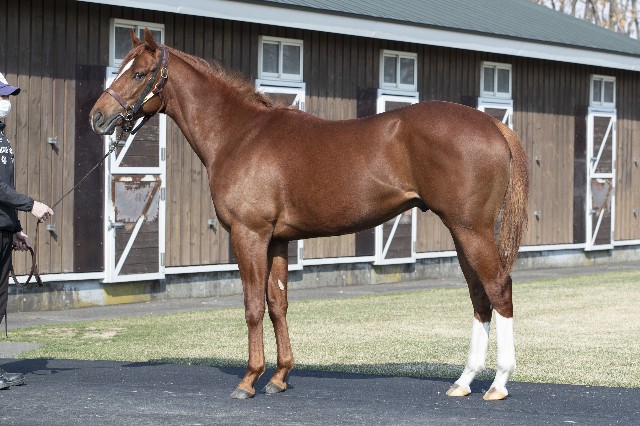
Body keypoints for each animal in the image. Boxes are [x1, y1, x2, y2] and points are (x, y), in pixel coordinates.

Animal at [89, 29, 529, 401]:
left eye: (139, 73)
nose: (97, 117)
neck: (240, 135)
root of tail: (492, 124)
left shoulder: (249, 234)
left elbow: (252, 305)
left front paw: (249, 380)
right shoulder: (278, 240)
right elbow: (277, 304)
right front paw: (280, 377)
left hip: (471, 229)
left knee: (499, 289)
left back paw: (499, 384)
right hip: (462, 231)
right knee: (480, 297)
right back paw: (464, 381)